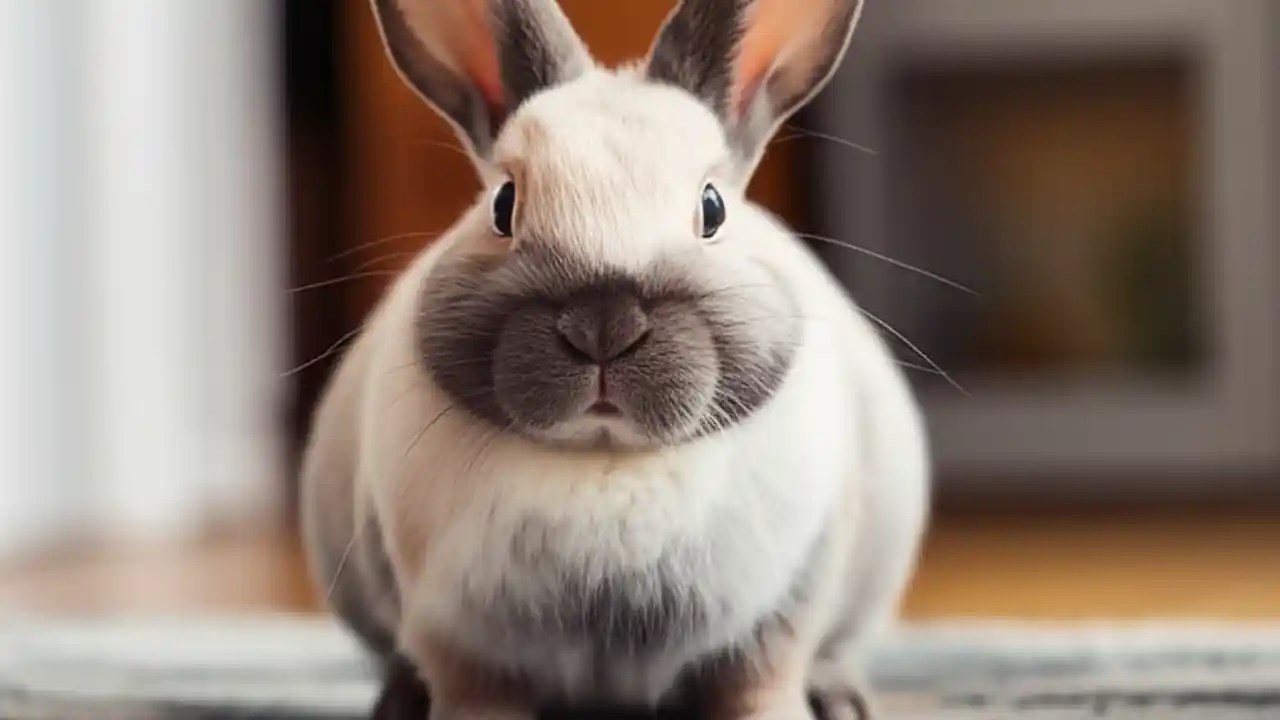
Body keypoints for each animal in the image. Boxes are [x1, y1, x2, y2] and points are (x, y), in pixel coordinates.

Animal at [301, 0, 929, 718]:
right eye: (503, 205)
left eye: (712, 208)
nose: (605, 322)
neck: (607, 461)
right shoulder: (459, 641)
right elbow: (475, 694)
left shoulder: (777, 616)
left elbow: (759, 684)